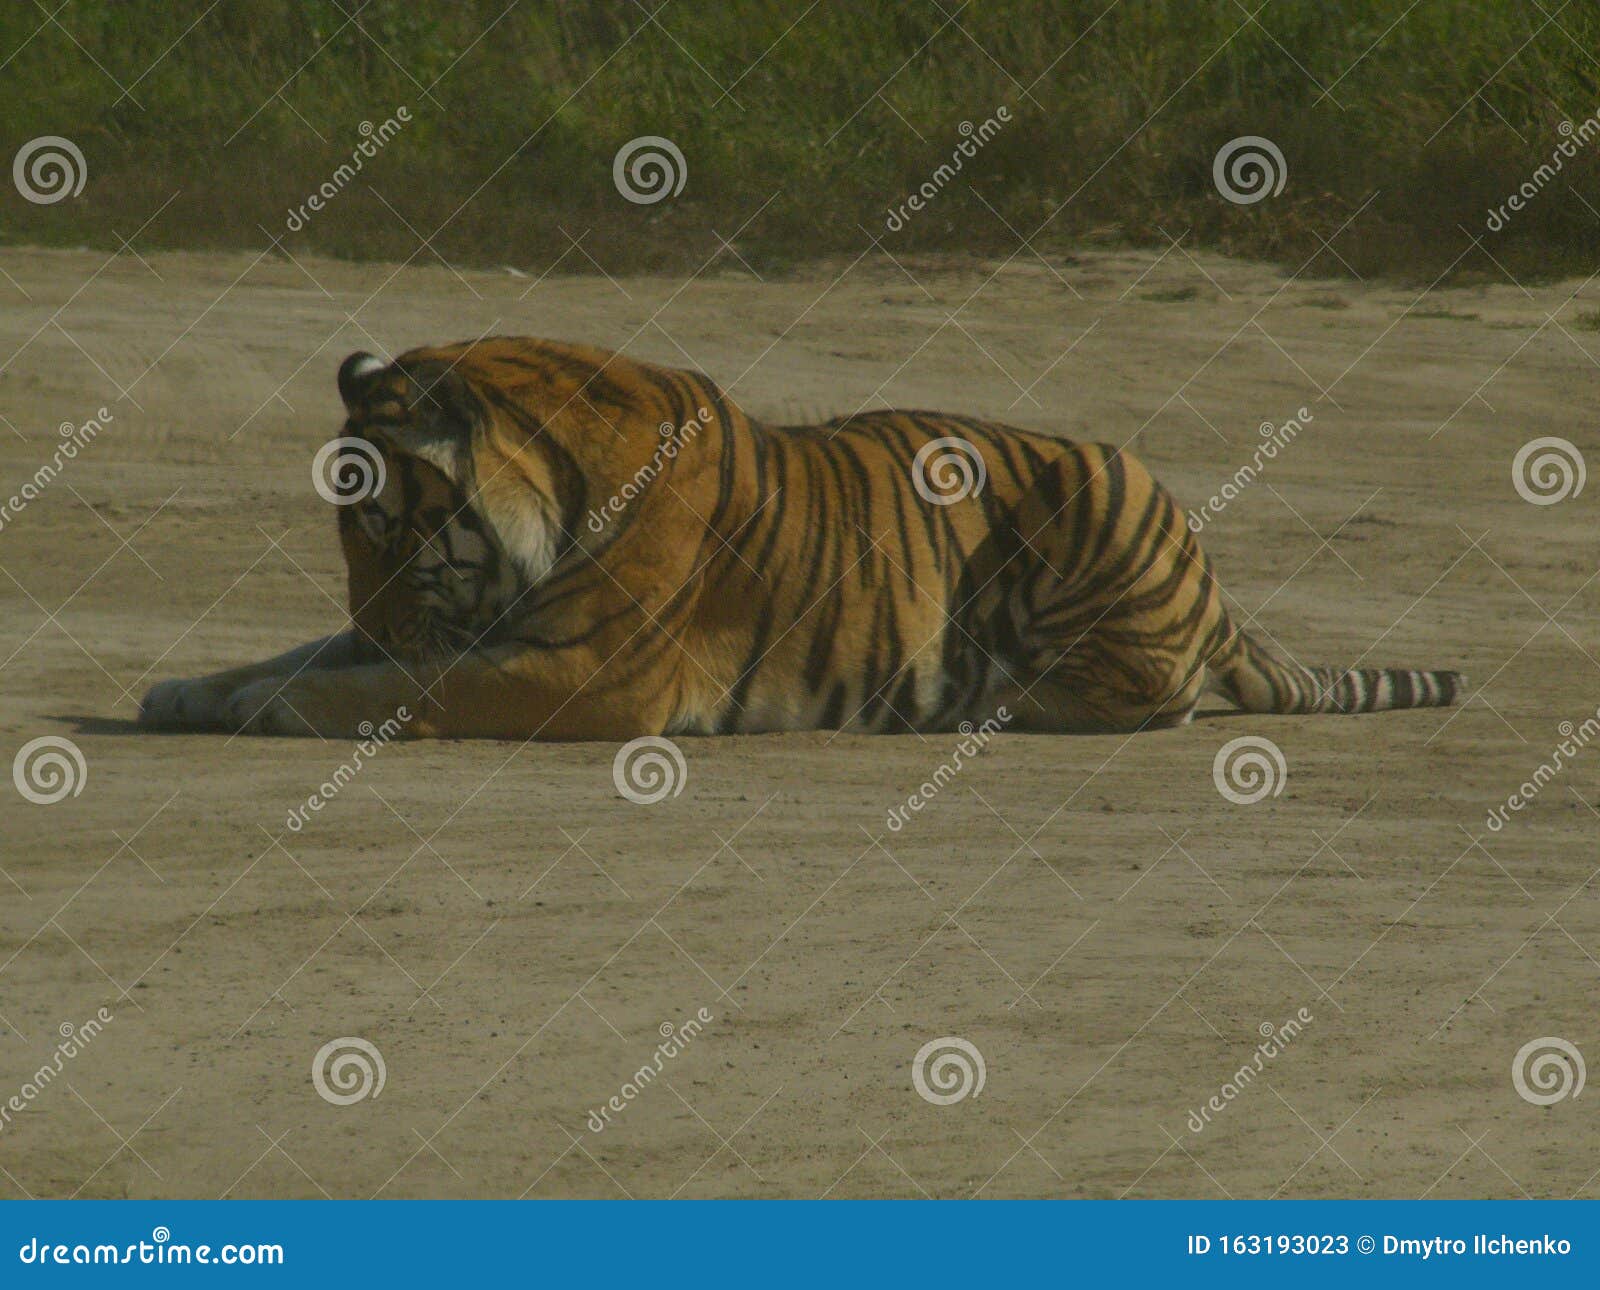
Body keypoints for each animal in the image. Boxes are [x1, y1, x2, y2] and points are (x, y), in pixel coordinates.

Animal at [138, 336, 1463, 740]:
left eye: (378, 532)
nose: (369, 614)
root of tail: (1218, 588)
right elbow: (310, 658)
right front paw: (185, 690)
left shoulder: (588, 677)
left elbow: (403, 689)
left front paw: (269, 708)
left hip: (1096, 488)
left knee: (1156, 696)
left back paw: (992, 698)